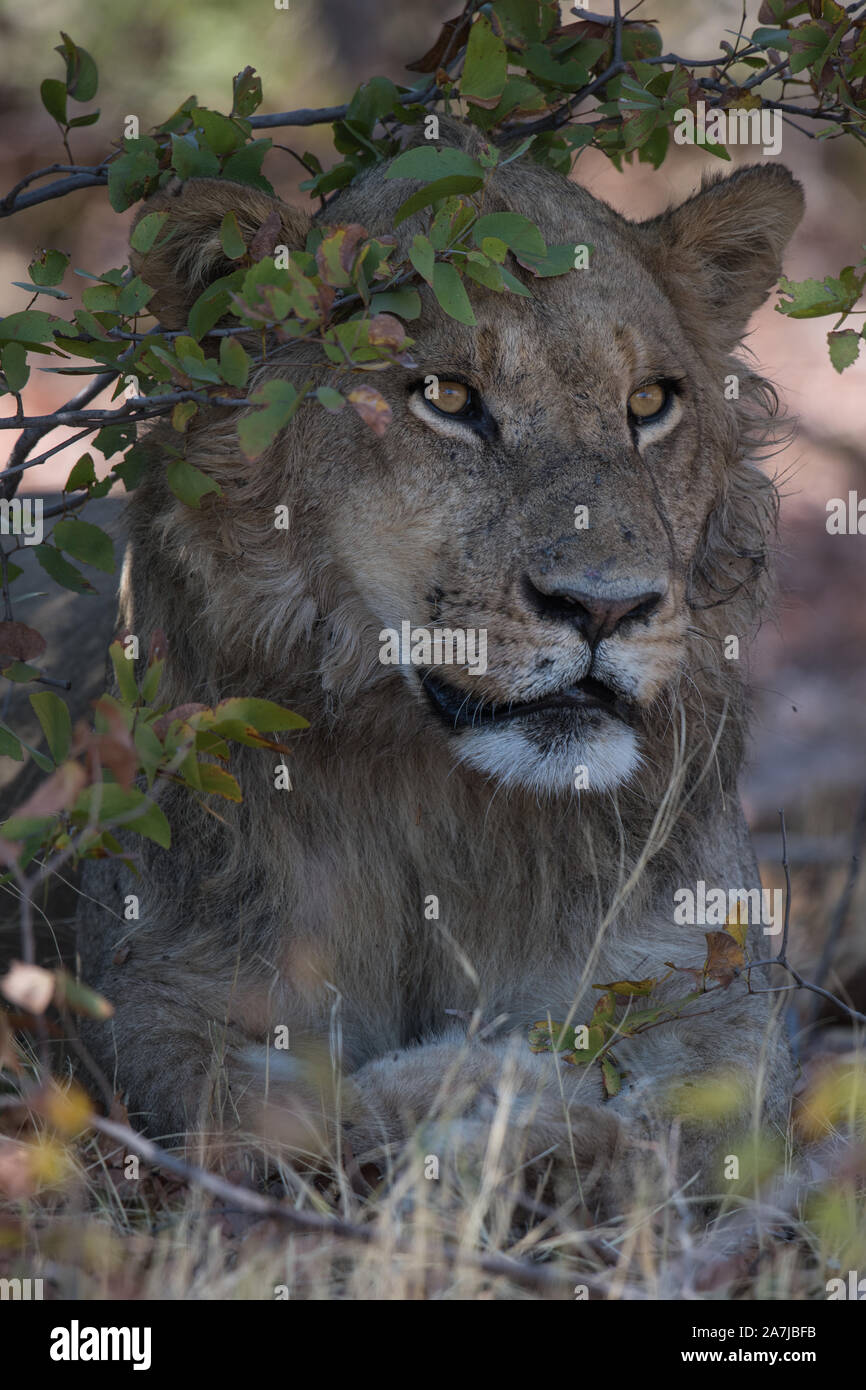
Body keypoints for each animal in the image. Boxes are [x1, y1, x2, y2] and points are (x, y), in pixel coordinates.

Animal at [77, 121, 803, 1218]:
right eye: (448, 397)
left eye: (649, 402)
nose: (605, 606)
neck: (445, 802)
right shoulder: (162, 991)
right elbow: (271, 1114)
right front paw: (488, 1094)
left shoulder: (702, 982)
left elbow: (708, 1122)